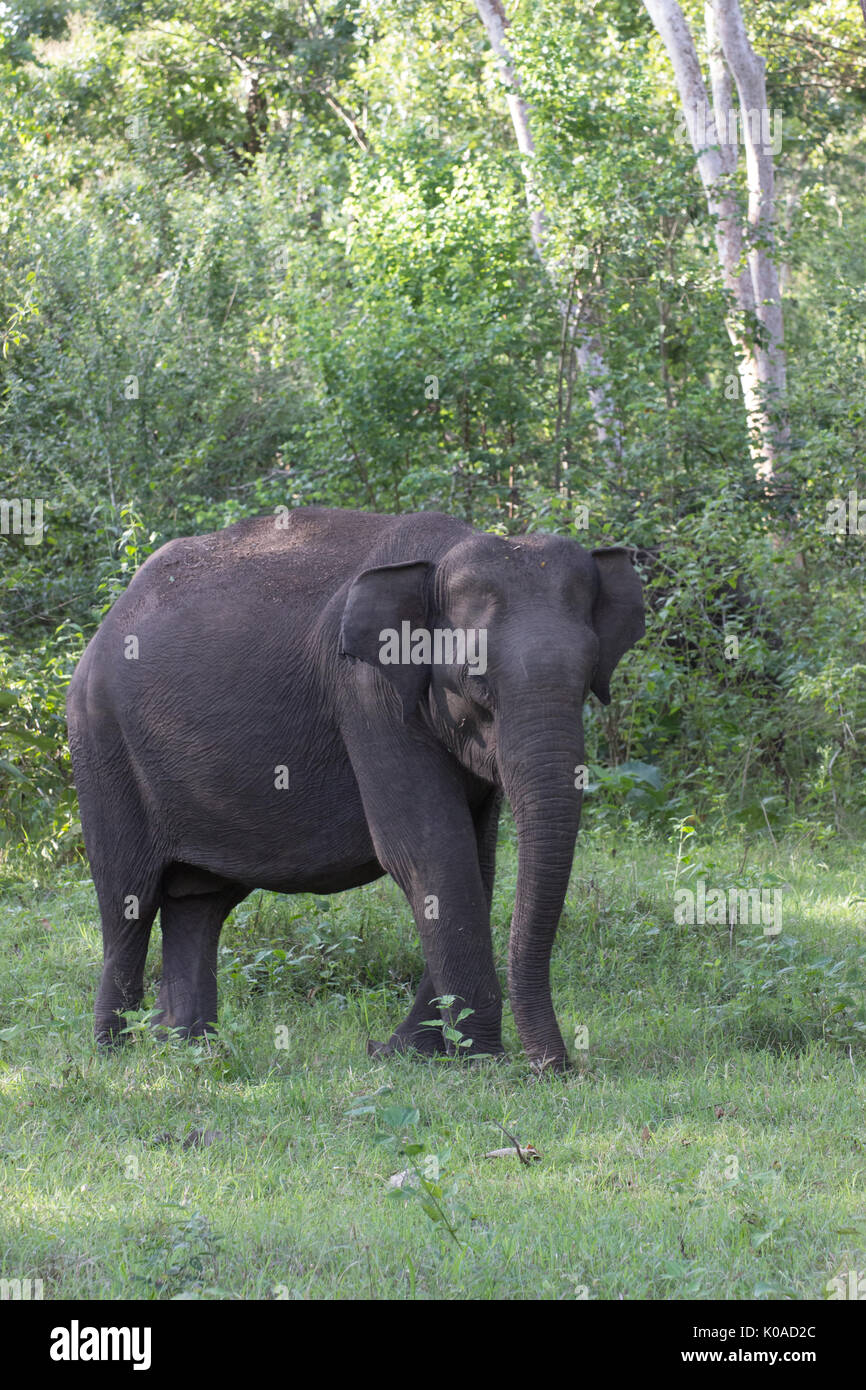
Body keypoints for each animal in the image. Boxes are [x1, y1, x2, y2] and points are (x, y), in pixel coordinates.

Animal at [66, 506, 645, 1070]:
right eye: (475, 678)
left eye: (590, 673)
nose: (556, 1068)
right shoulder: (367, 695)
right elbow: (431, 852)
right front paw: (477, 1059)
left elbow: (476, 863)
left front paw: (407, 1052)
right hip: (102, 742)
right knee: (128, 898)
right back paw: (115, 1054)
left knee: (199, 900)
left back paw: (190, 1050)